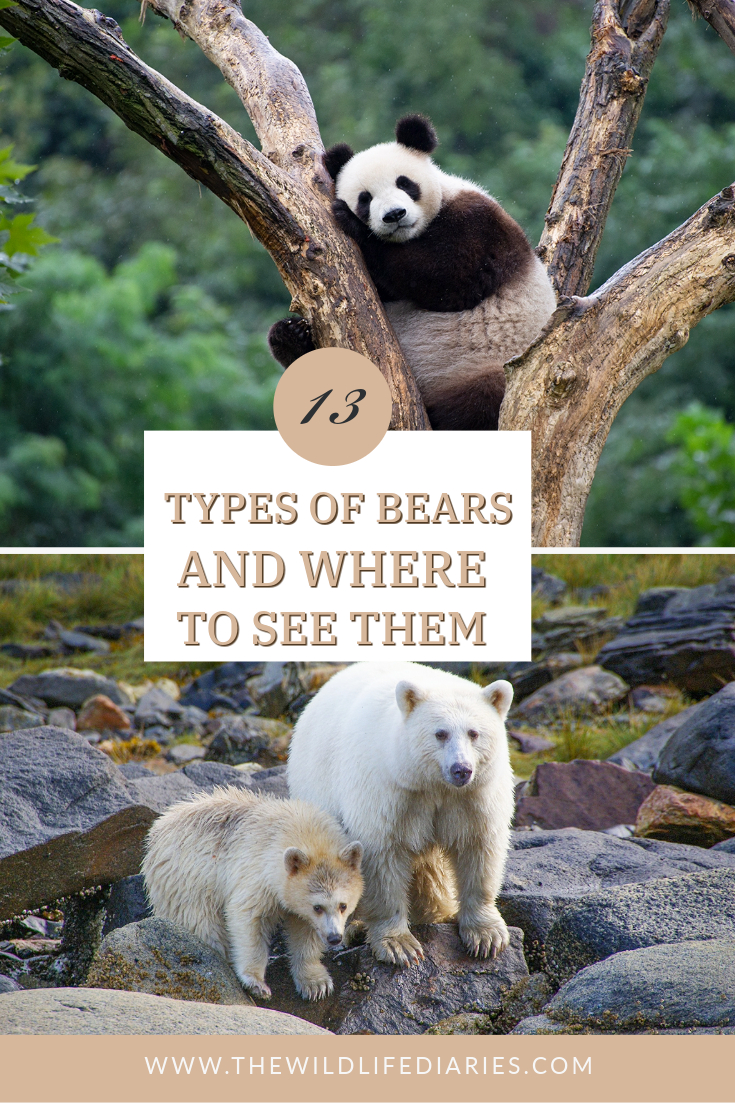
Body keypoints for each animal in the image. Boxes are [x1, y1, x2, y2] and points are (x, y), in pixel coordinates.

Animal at [141, 787, 363, 1001]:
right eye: (317, 907)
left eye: (343, 905)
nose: (334, 938)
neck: (295, 827)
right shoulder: (257, 872)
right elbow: (248, 918)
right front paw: (256, 983)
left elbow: (305, 930)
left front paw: (316, 984)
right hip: (187, 882)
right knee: (202, 924)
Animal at [268, 113, 556, 431]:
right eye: (365, 198)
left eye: (404, 183)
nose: (394, 215)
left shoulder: (482, 226)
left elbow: (451, 278)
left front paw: (355, 227)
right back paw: (291, 337)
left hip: (482, 367)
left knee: (480, 405)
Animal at [286, 662, 515, 966]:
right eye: (440, 733)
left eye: (474, 733)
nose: (461, 769)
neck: (432, 785)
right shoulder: (390, 792)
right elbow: (382, 855)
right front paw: (398, 945)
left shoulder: (473, 797)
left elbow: (479, 848)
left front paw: (486, 935)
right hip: (318, 790)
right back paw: (354, 927)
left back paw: (437, 910)